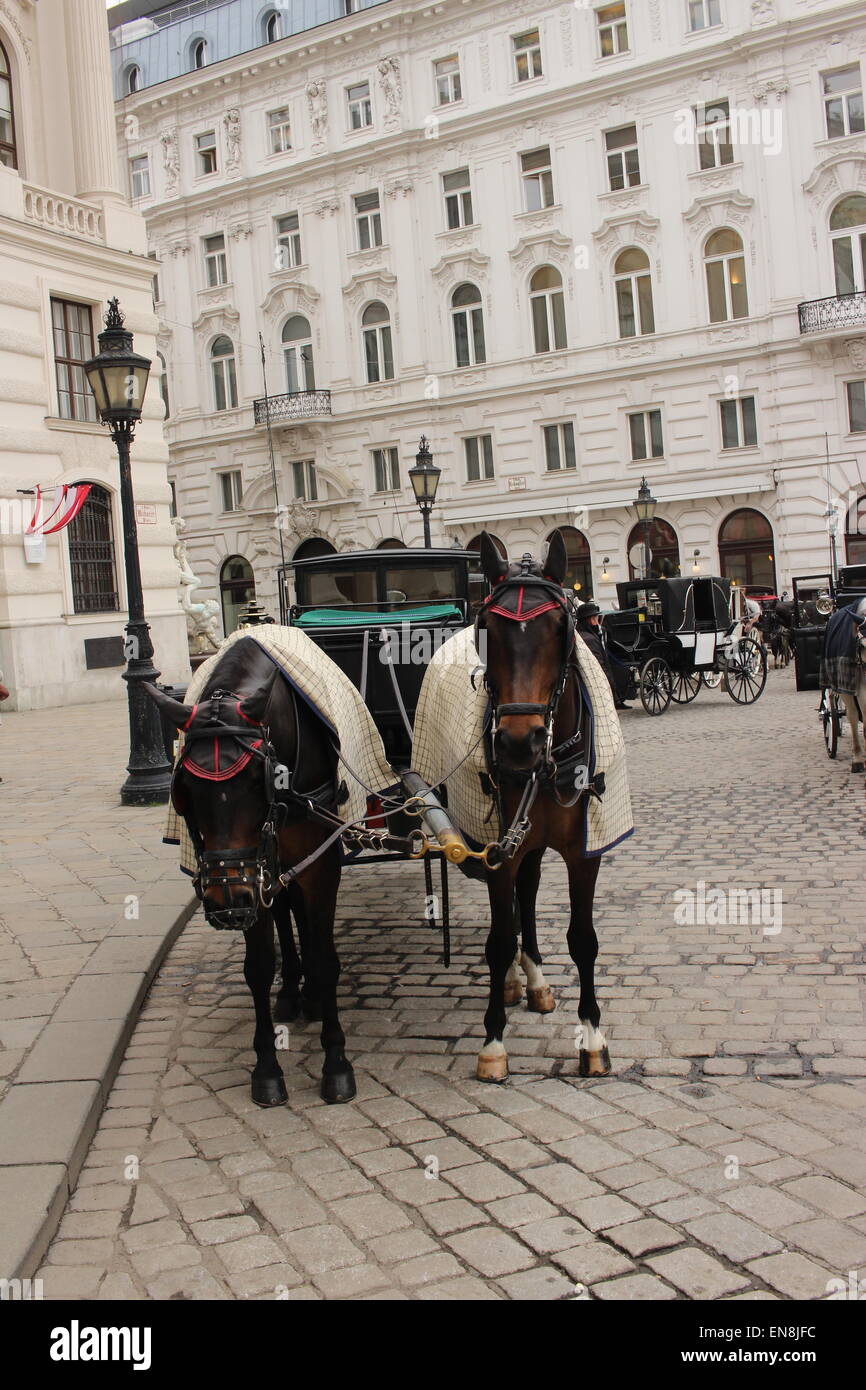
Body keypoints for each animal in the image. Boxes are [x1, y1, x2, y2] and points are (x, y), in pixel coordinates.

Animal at [145, 636, 356, 1108]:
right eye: (185, 789)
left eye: (256, 783)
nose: (227, 901)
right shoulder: (251, 874)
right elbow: (258, 965)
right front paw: (267, 1070)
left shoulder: (322, 862)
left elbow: (326, 956)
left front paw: (336, 1063)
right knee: (285, 911)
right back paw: (295, 991)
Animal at [472, 530, 622, 1084]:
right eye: (488, 630)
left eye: (561, 628)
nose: (520, 742)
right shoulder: (497, 850)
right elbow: (498, 939)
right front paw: (493, 1041)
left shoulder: (585, 853)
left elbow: (583, 939)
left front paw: (593, 1036)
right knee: (517, 904)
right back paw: (519, 979)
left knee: (530, 893)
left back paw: (532, 978)